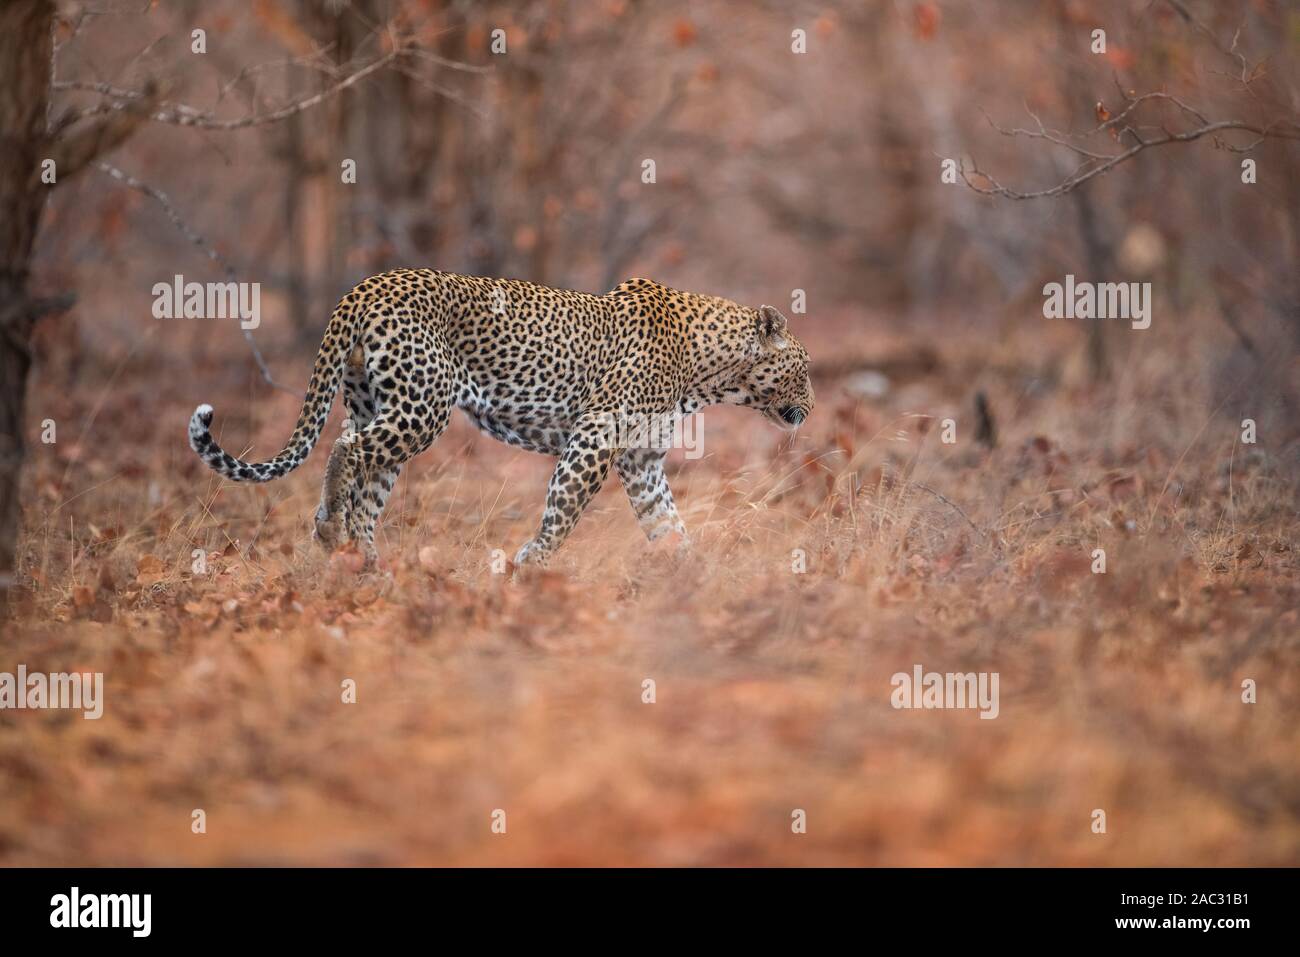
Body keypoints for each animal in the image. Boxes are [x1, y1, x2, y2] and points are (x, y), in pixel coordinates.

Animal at [188, 269, 813, 570]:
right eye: (805, 369)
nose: (809, 410)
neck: (713, 372)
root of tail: (367, 286)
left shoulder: (640, 459)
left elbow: (669, 525)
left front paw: (691, 578)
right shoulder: (595, 437)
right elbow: (563, 511)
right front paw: (531, 566)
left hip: (379, 404)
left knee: (364, 476)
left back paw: (366, 564)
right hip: (422, 409)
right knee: (349, 451)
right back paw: (329, 531)